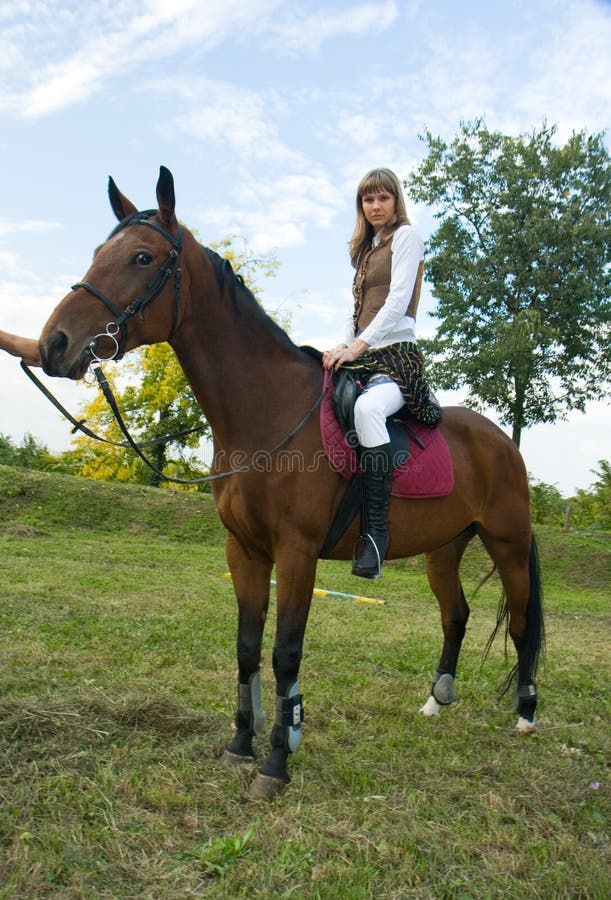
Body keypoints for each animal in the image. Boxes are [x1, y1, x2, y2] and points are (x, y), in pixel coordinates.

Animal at [28, 165, 544, 800]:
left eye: (142, 258)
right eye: (100, 253)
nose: (54, 345)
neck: (266, 411)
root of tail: (503, 442)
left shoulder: (296, 554)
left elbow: (284, 655)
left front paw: (275, 763)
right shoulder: (245, 550)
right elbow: (247, 647)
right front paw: (239, 746)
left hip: (508, 544)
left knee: (521, 622)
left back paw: (526, 713)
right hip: (443, 550)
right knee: (457, 615)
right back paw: (435, 701)